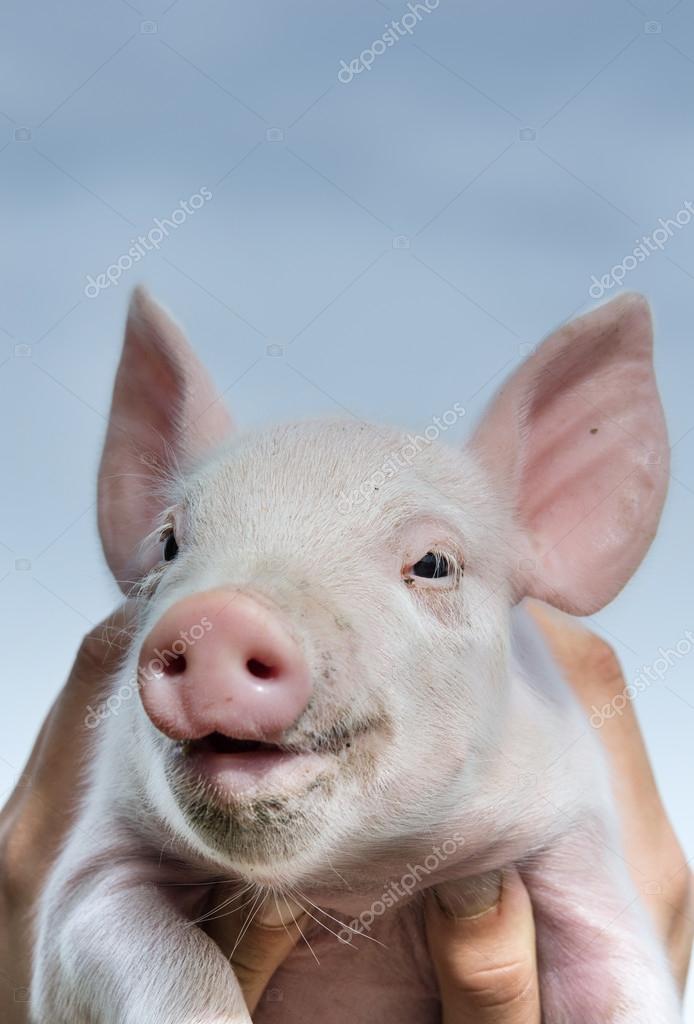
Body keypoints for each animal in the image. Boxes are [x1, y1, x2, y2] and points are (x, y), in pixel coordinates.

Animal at [31, 287, 681, 1024]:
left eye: (434, 563)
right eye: (169, 543)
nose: (220, 616)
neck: (353, 891)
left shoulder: (576, 842)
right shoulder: (95, 867)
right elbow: (154, 952)